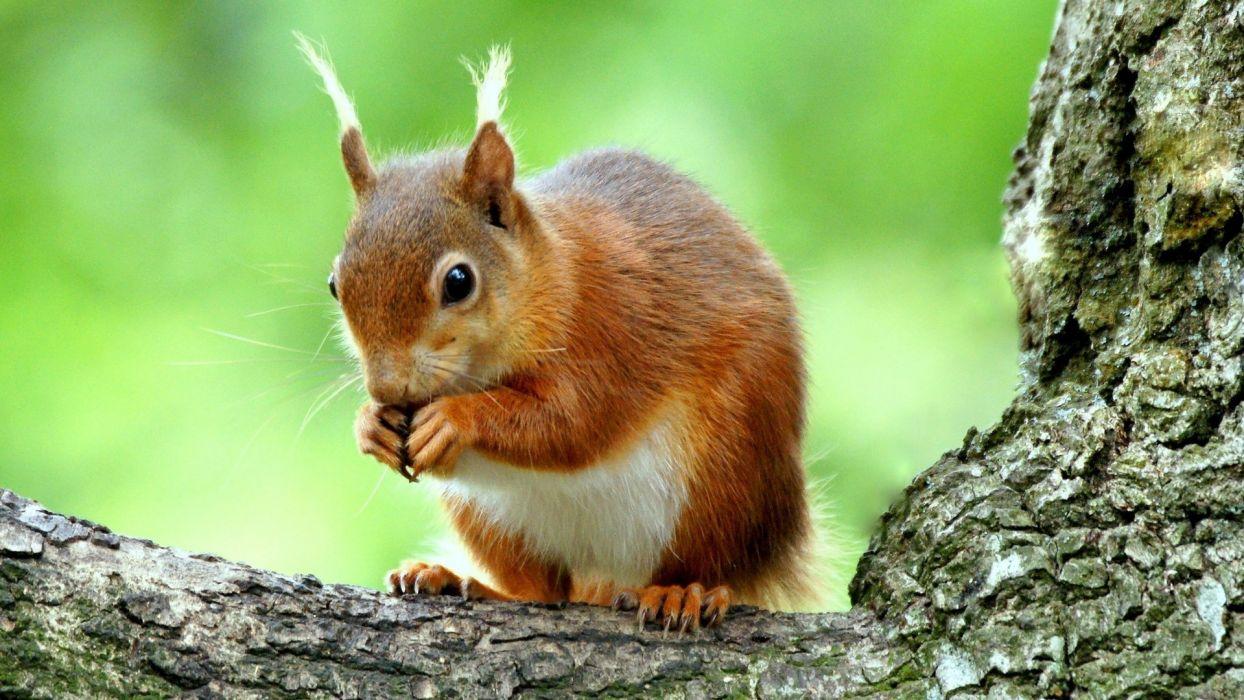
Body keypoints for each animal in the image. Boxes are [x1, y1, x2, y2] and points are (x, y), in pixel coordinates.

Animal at [298, 38, 819, 631]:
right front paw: (371, 426)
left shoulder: (609, 327)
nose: (386, 388)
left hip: (725, 467)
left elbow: (572, 421)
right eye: (335, 284)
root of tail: (608, 576)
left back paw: (682, 591)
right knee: (542, 591)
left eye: (459, 281)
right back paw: (456, 580)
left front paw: (454, 420)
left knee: (706, 559)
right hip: (494, 520)